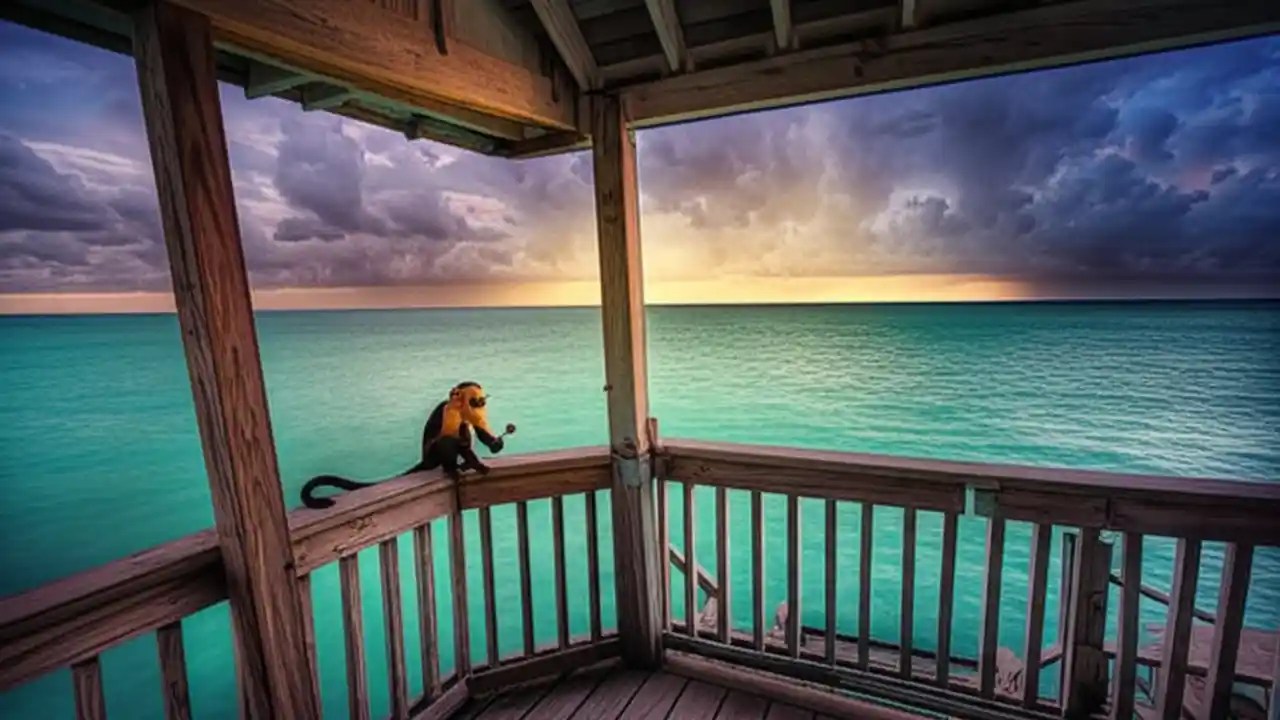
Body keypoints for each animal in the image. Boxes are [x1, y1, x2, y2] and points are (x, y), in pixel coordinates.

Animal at [300, 381, 516, 509]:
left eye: (480, 400)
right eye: (474, 400)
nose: (481, 404)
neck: (460, 408)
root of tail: (425, 461)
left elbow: (479, 431)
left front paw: (495, 444)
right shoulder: (447, 410)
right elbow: (451, 440)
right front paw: (473, 459)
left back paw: (465, 464)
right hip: (432, 456)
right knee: (448, 442)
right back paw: (452, 467)